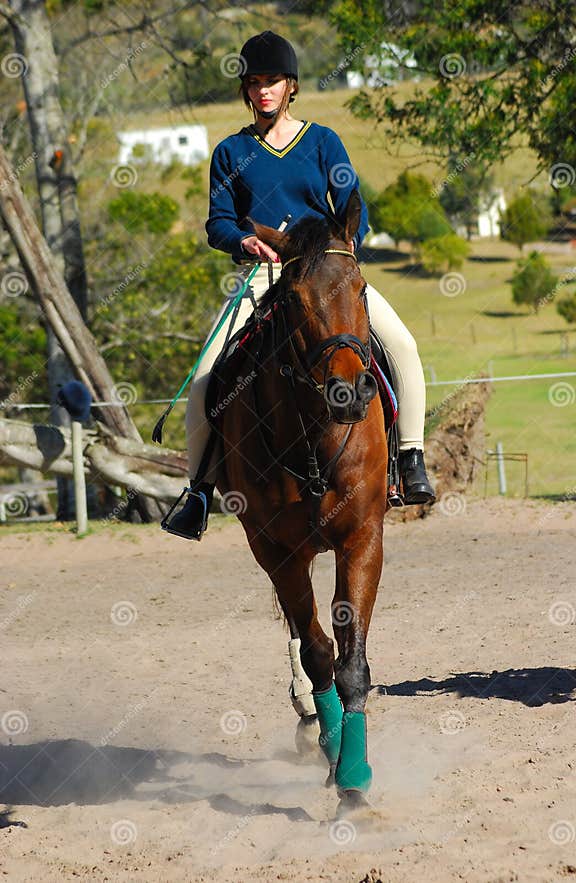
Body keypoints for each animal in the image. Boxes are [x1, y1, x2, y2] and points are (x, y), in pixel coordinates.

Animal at [212, 190, 388, 808]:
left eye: (360, 286)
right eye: (292, 298)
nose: (347, 393)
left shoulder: (362, 537)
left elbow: (351, 660)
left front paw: (356, 777)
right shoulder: (279, 552)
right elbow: (317, 654)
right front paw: (339, 761)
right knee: (301, 639)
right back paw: (313, 724)